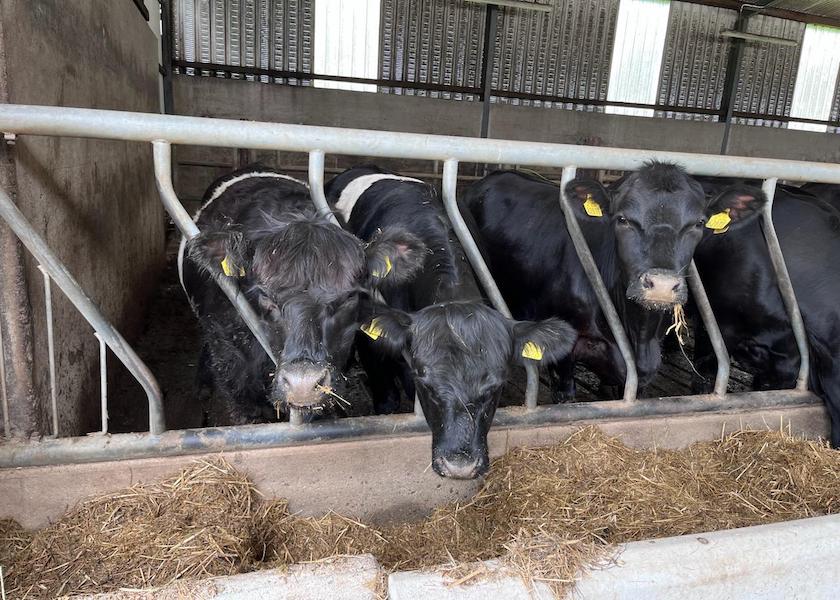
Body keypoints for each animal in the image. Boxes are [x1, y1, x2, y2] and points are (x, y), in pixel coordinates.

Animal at [463, 162, 766, 401]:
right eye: (622, 219)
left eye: (698, 223)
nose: (662, 285)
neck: (636, 332)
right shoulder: (564, 354)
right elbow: (566, 394)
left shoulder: (641, 369)